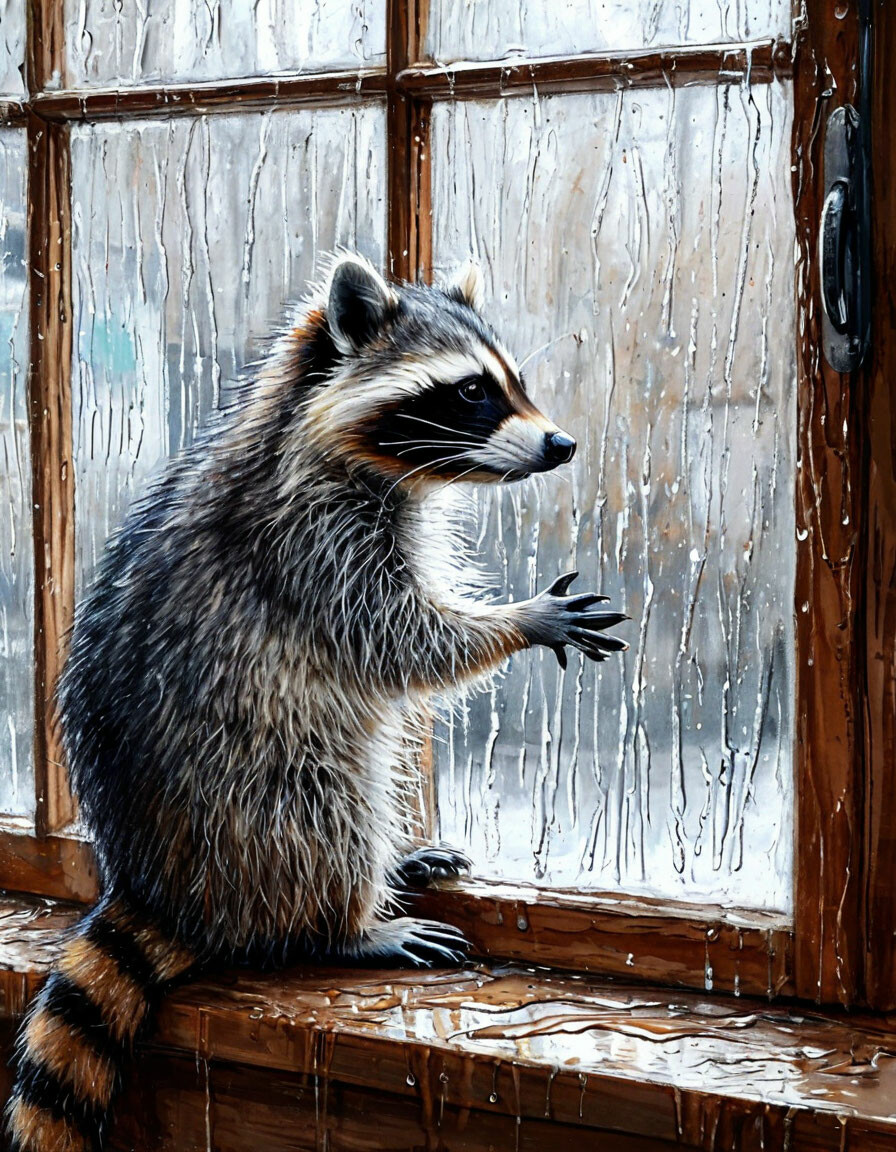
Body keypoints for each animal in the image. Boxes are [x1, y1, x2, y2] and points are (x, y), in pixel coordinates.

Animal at [7, 254, 626, 1152]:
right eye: (471, 391)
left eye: (515, 380)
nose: (561, 444)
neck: (312, 433)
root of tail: (160, 885)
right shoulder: (308, 545)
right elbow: (402, 639)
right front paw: (517, 620)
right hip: (246, 791)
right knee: (324, 815)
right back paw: (348, 922)